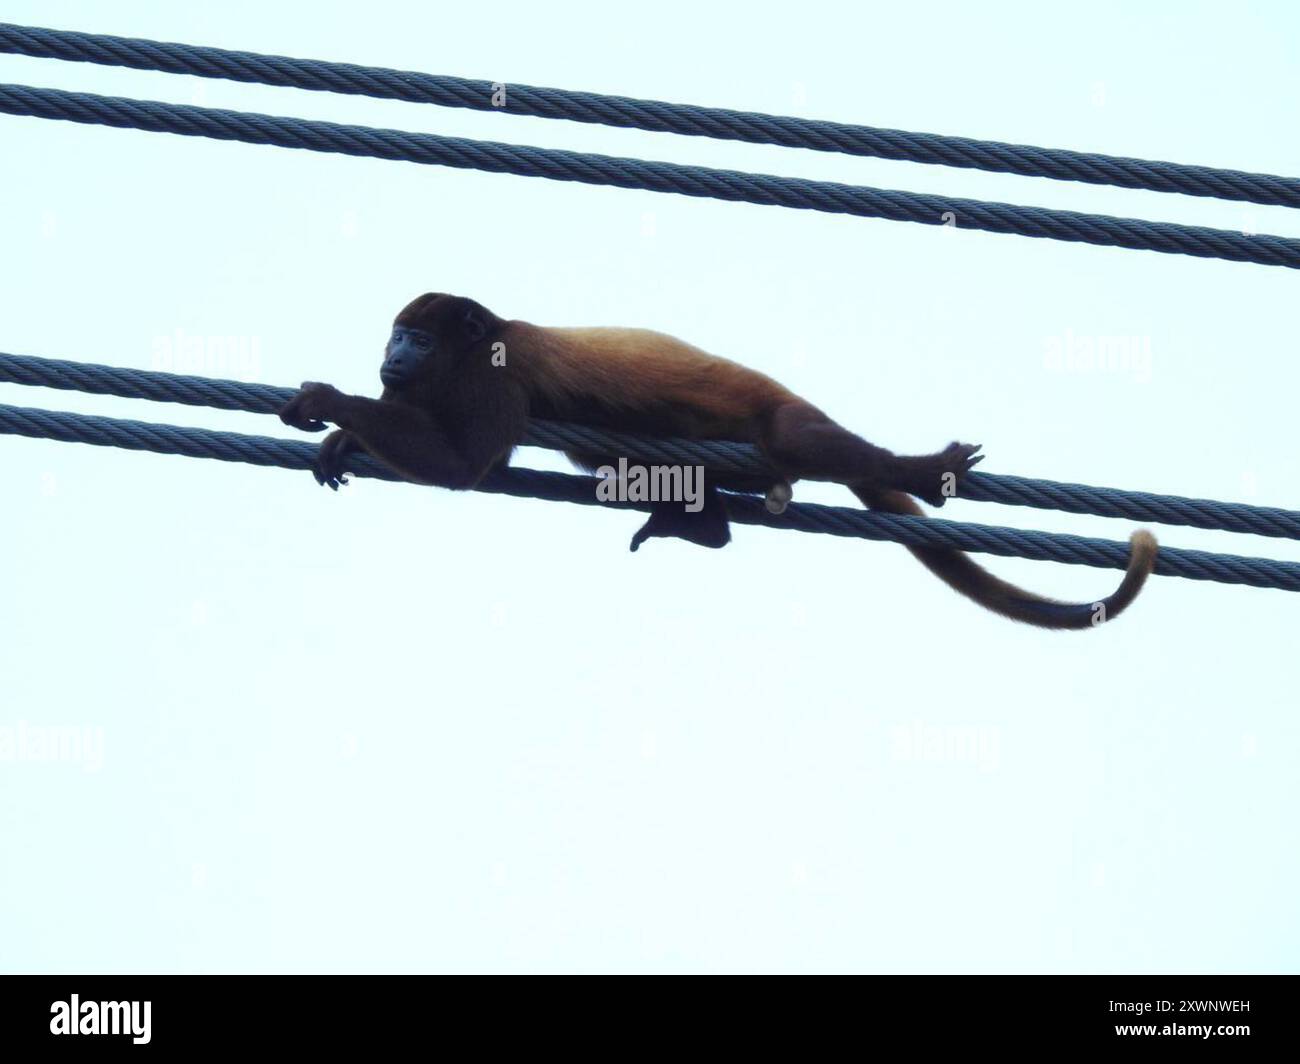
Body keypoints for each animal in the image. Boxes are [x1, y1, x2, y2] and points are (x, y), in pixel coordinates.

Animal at [279, 293, 1157, 629]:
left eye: (415, 337)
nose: (390, 354)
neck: (475, 341)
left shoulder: (496, 367)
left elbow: (466, 463)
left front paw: (332, 401)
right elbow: (465, 458)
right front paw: (343, 436)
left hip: (779, 414)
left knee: (799, 440)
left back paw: (913, 471)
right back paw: (697, 527)